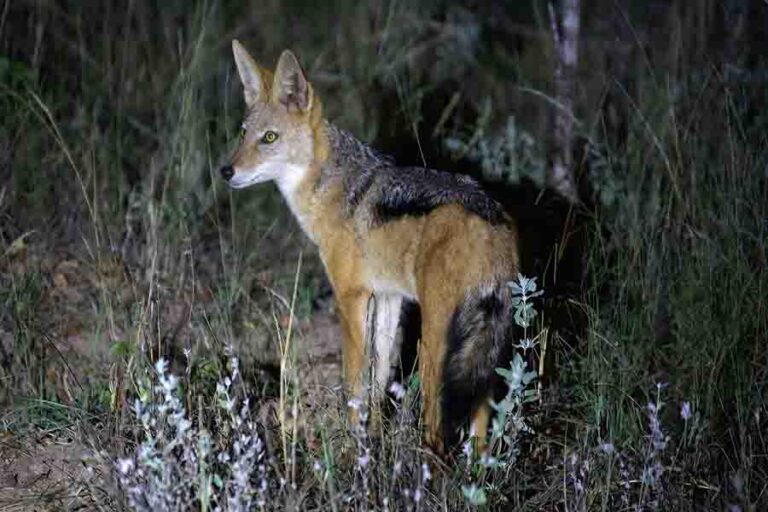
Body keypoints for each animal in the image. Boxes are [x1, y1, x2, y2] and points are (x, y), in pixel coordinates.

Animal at [220, 40, 521, 454]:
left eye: (269, 138)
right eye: (243, 133)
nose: (226, 171)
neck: (330, 190)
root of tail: (490, 220)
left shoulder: (351, 298)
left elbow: (354, 384)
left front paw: (353, 444)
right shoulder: (389, 297)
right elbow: (378, 381)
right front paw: (373, 440)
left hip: (435, 348)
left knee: (437, 429)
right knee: (479, 424)